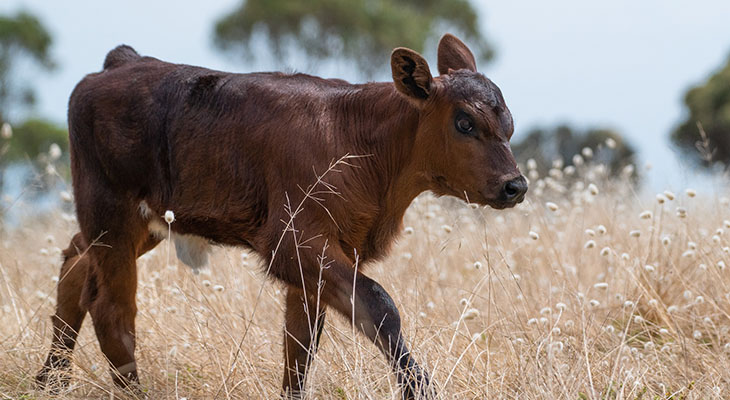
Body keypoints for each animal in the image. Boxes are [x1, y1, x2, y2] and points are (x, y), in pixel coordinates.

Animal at [36, 34, 527, 399]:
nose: (515, 185)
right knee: (112, 308)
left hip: (141, 223)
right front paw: (419, 390)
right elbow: (378, 305)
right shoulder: (291, 242)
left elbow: (300, 343)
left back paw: (49, 381)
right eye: (464, 122)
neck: (361, 140)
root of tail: (123, 62)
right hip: (110, 214)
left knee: (75, 266)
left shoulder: (328, 253)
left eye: (509, 123)